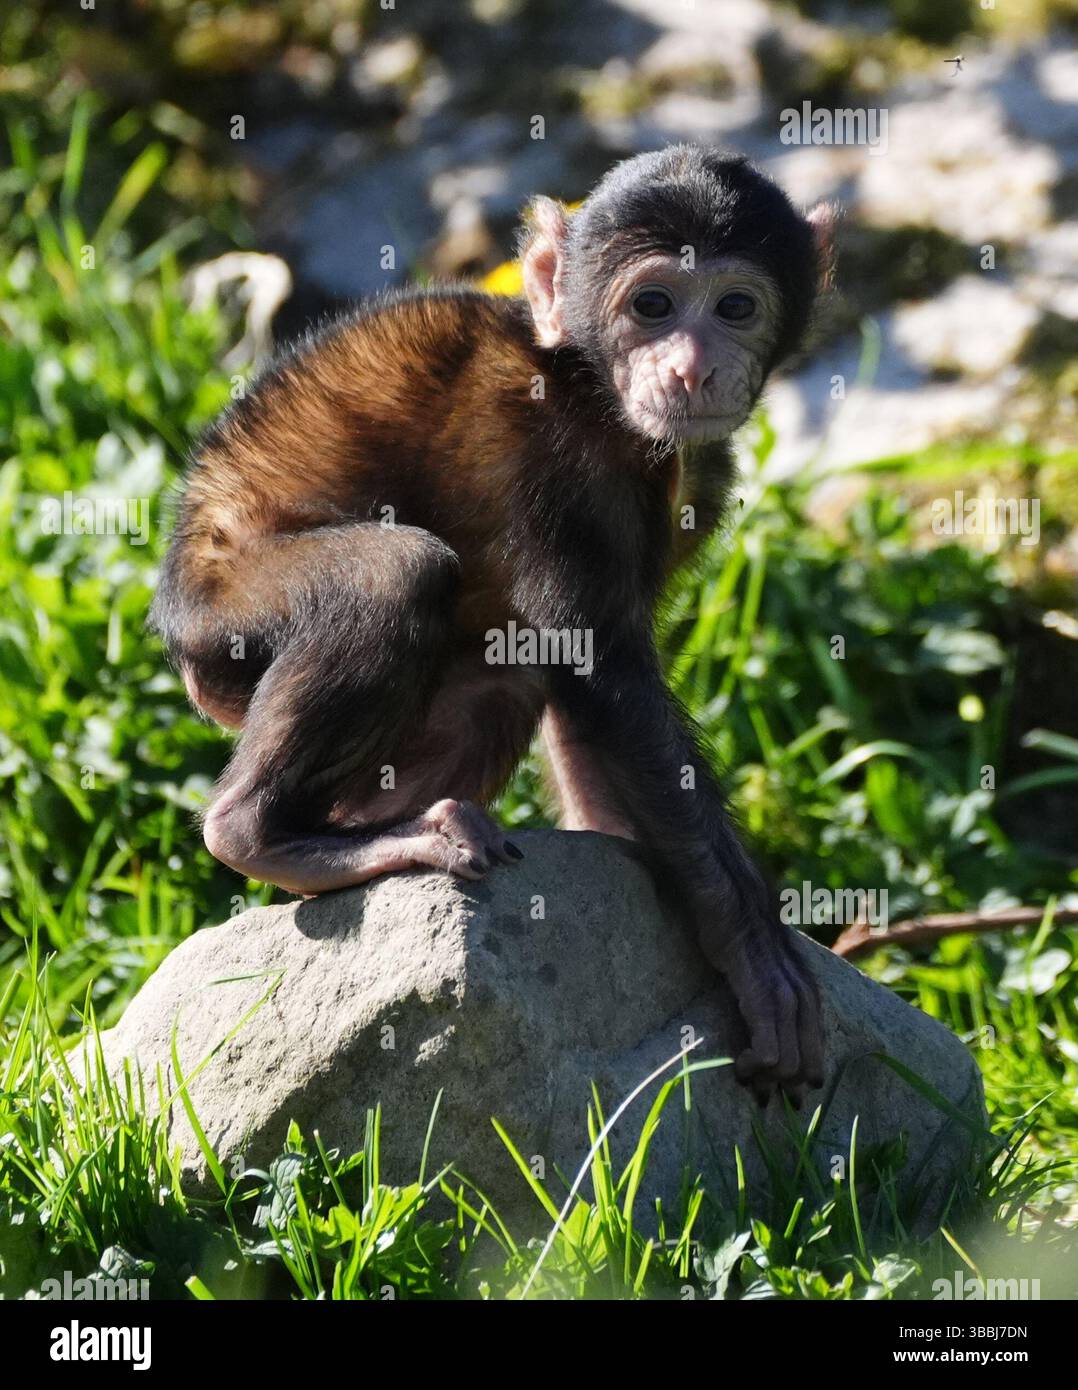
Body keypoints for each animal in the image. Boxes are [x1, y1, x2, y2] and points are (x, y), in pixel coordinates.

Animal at [151, 144, 832, 1097]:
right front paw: (749, 944)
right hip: (229, 611)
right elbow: (604, 673)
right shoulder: (550, 455)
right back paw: (270, 837)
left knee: (496, 682)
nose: (692, 367)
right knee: (395, 577)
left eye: (735, 307)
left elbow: (587, 697)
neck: (591, 386)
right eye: (652, 305)